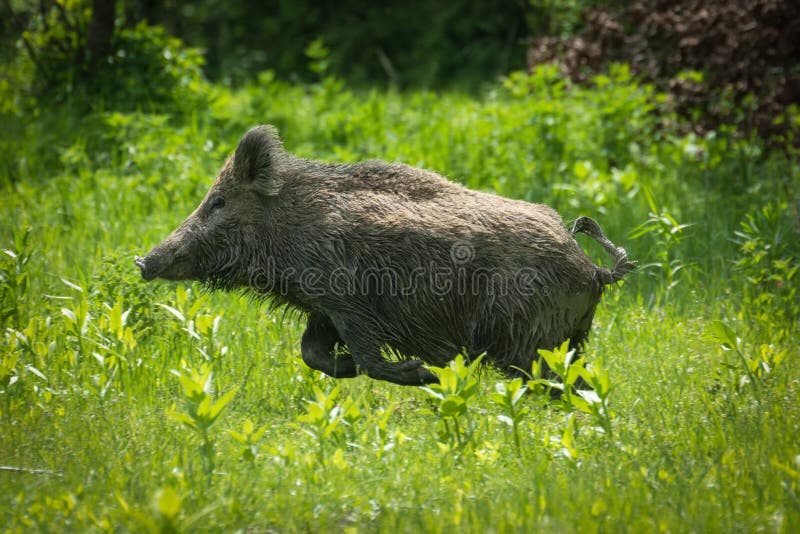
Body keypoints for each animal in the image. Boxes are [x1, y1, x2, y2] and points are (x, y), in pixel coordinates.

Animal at [136, 125, 634, 386]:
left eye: (218, 201)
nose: (142, 262)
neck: (293, 227)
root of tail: (594, 271)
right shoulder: (323, 308)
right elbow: (310, 352)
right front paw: (347, 369)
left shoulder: (349, 302)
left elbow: (370, 358)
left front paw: (425, 375)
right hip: (564, 339)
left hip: (529, 339)